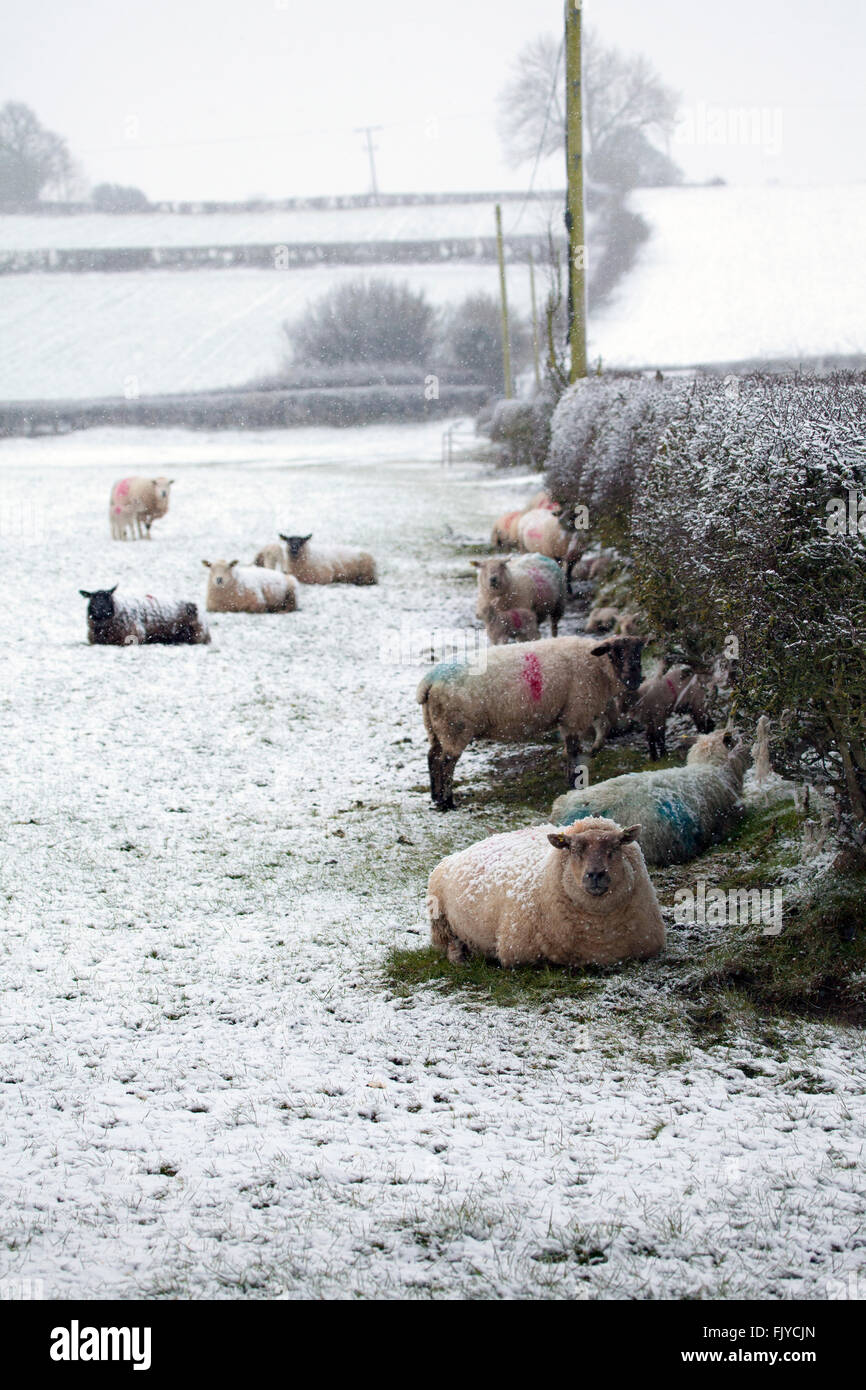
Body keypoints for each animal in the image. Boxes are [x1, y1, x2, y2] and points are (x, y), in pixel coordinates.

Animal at [417, 635, 645, 810]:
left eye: (638, 653)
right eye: (615, 653)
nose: (635, 680)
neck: (598, 668)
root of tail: (429, 681)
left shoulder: (581, 711)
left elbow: (597, 730)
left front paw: (591, 755)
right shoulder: (574, 713)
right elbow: (573, 749)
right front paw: (573, 781)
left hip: (435, 726)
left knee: (432, 757)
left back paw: (435, 797)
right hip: (455, 727)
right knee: (446, 762)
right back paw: (448, 802)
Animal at [427, 817, 664, 967]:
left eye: (615, 847)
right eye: (573, 849)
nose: (595, 874)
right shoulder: (516, 954)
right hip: (440, 918)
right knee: (449, 942)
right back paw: (460, 957)